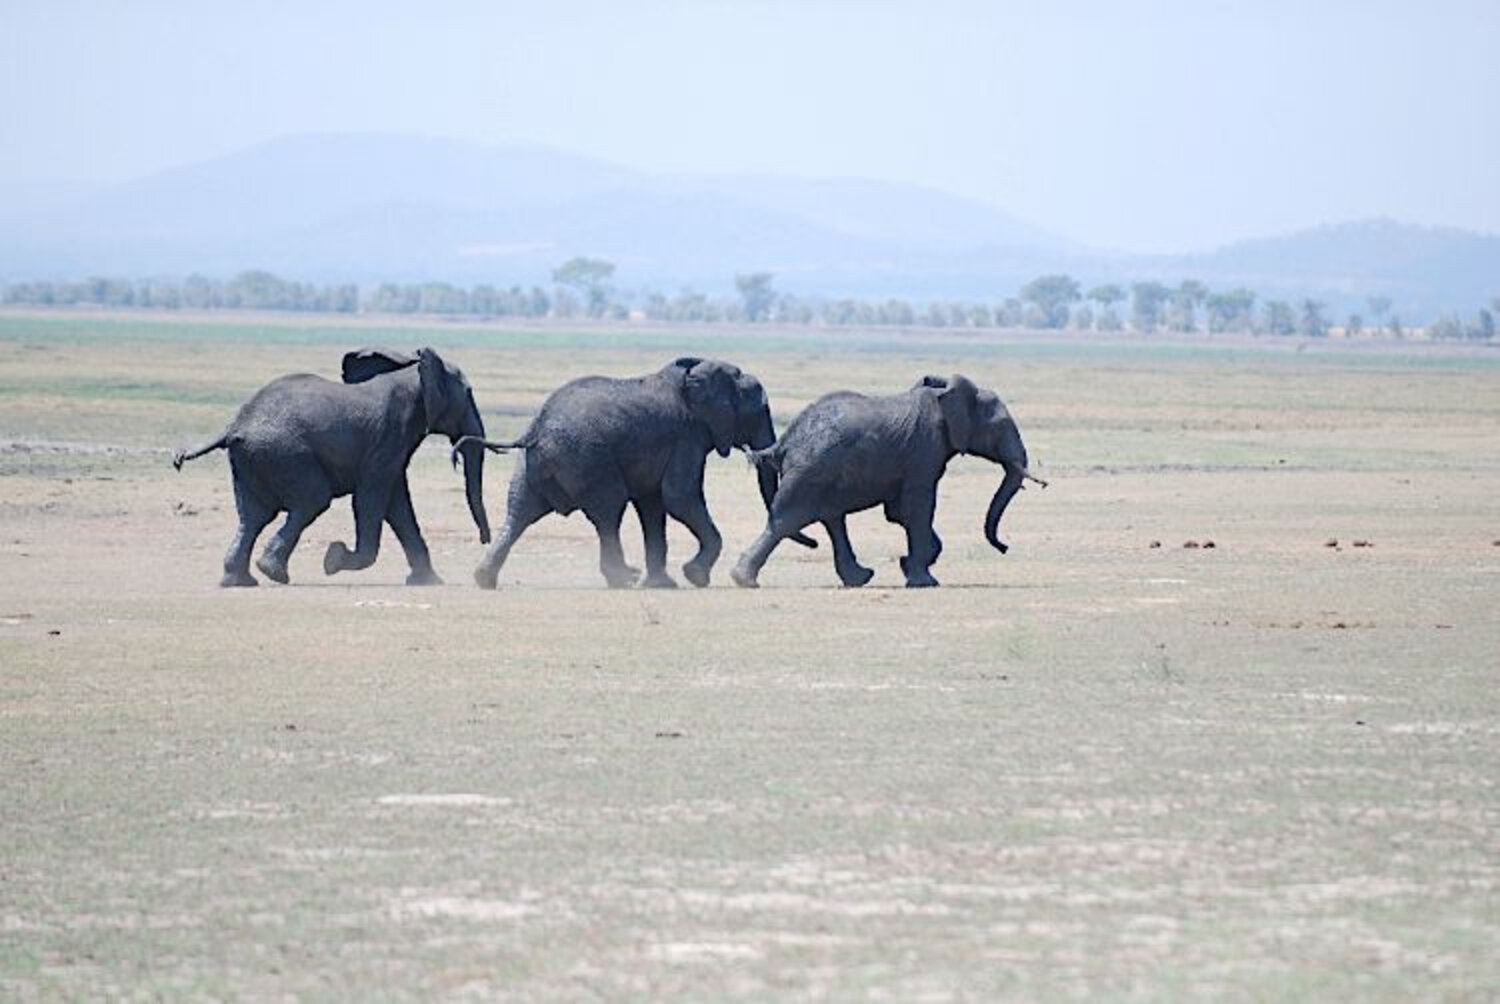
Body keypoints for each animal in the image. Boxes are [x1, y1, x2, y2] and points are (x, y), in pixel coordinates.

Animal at [172, 347, 490, 587]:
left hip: (251, 461)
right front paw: (334, 560)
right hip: (286, 454)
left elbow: (397, 505)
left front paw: (428, 582)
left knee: (253, 516)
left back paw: (241, 581)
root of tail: (234, 427)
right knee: (311, 501)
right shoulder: (388, 439)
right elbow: (371, 500)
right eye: (469, 393)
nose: (484, 541)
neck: (413, 373)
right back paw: (274, 573)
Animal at [460, 356, 812, 589]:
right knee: (608, 512)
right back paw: (623, 579)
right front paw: (694, 576)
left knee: (519, 511)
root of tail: (535, 430)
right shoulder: (687, 436)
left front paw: (664, 584)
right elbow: (679, 498)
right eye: (761, 410)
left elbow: (654, 506)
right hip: (587, 459)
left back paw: (484, 579)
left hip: (534, 466)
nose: (813, 544)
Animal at [731, 374, 1044, 588]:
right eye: (1000, 427)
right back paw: (744, 580)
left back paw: (860, 578)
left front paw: (912, 564)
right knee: (789, 520)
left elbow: (900, 513)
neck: (945, 396)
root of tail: (784, 442)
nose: (1004, 548)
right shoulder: (924, 450)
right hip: (810, 471)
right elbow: (919, 506)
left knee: (832, 519)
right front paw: (923, 581)